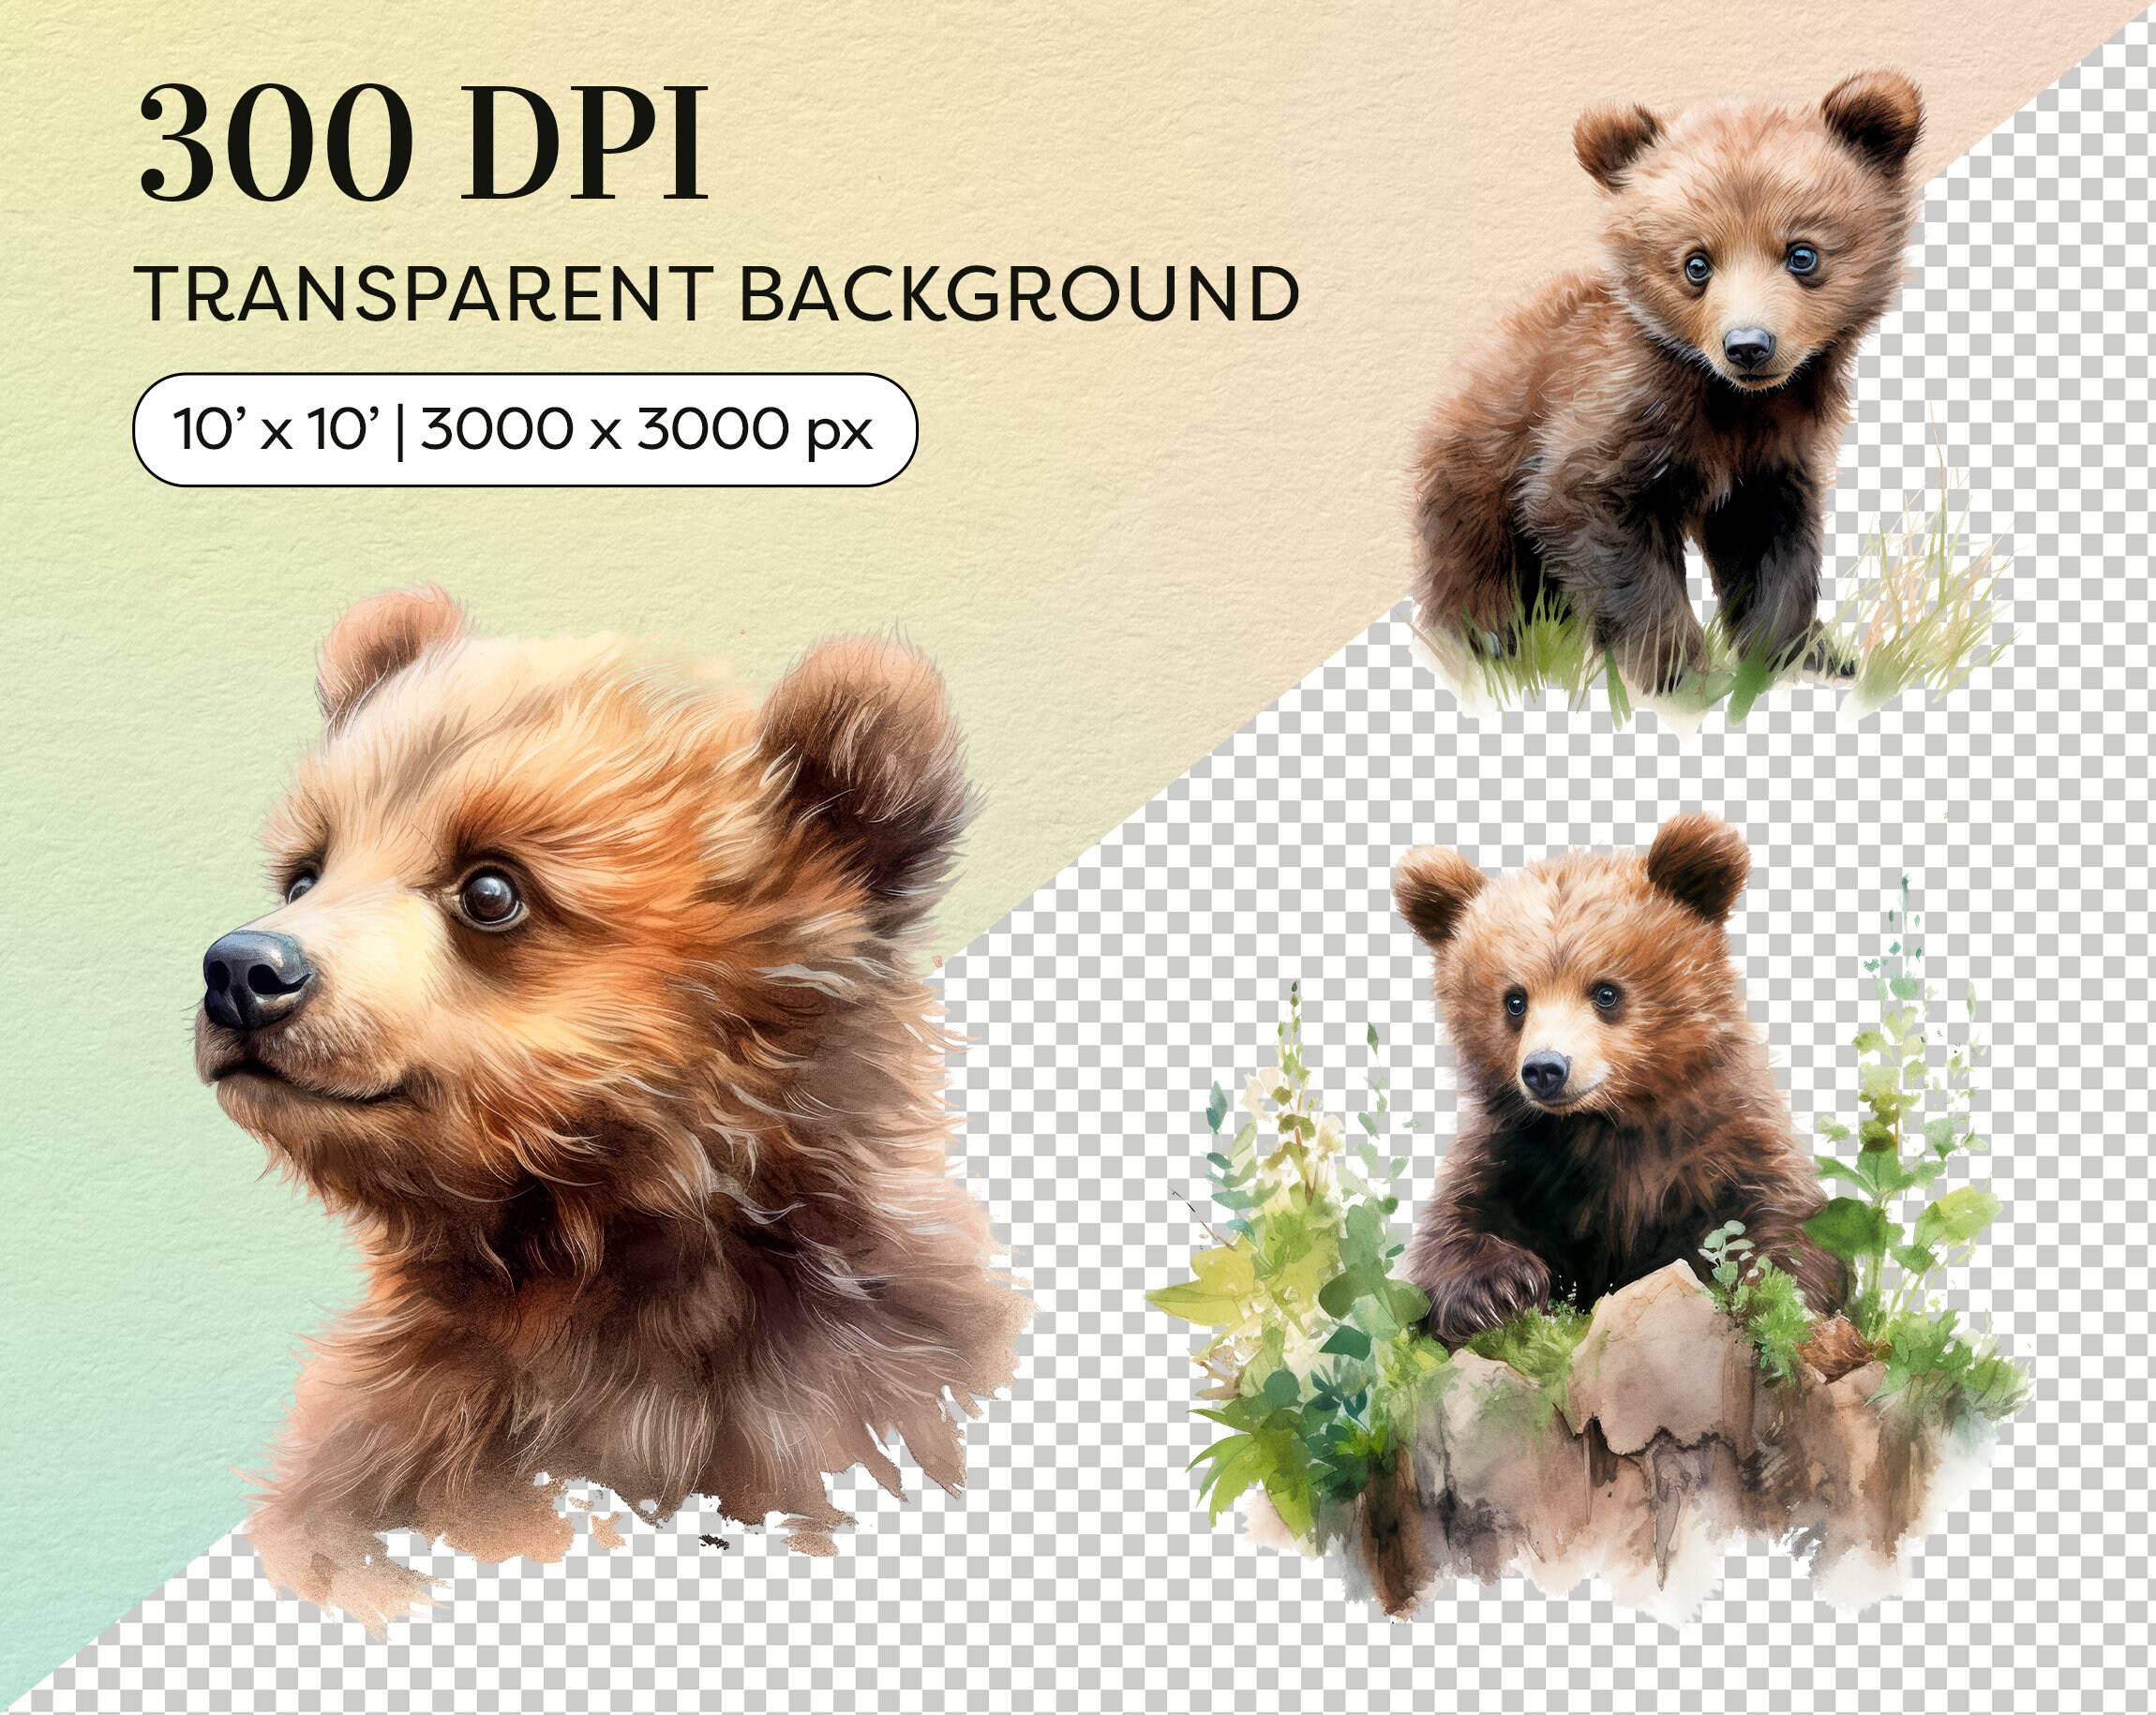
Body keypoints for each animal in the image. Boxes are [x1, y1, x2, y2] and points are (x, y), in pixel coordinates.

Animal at [1391, 814, 1844, 1345]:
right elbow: (1452, 1226)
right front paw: (1497, 1290)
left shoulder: (1726, 1142)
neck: (1609, 1123)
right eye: (1514, 1001)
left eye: (1606, 992)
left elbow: (1782, 1221)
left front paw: (1776, 1296)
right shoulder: (1517, 1155)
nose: (1545, 1069)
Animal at [1411, 71, 1925, 690]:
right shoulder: (1609, 415)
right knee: (1472, 557)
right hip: (1474, 471)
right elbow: (1593, 521)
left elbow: (1771, 552)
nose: (1748, 346)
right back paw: (1487, 639)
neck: (1729, 401)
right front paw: (1679, 674)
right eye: (1696, 263)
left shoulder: (1768, 454)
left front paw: (1798, 659)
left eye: (1802, 253)